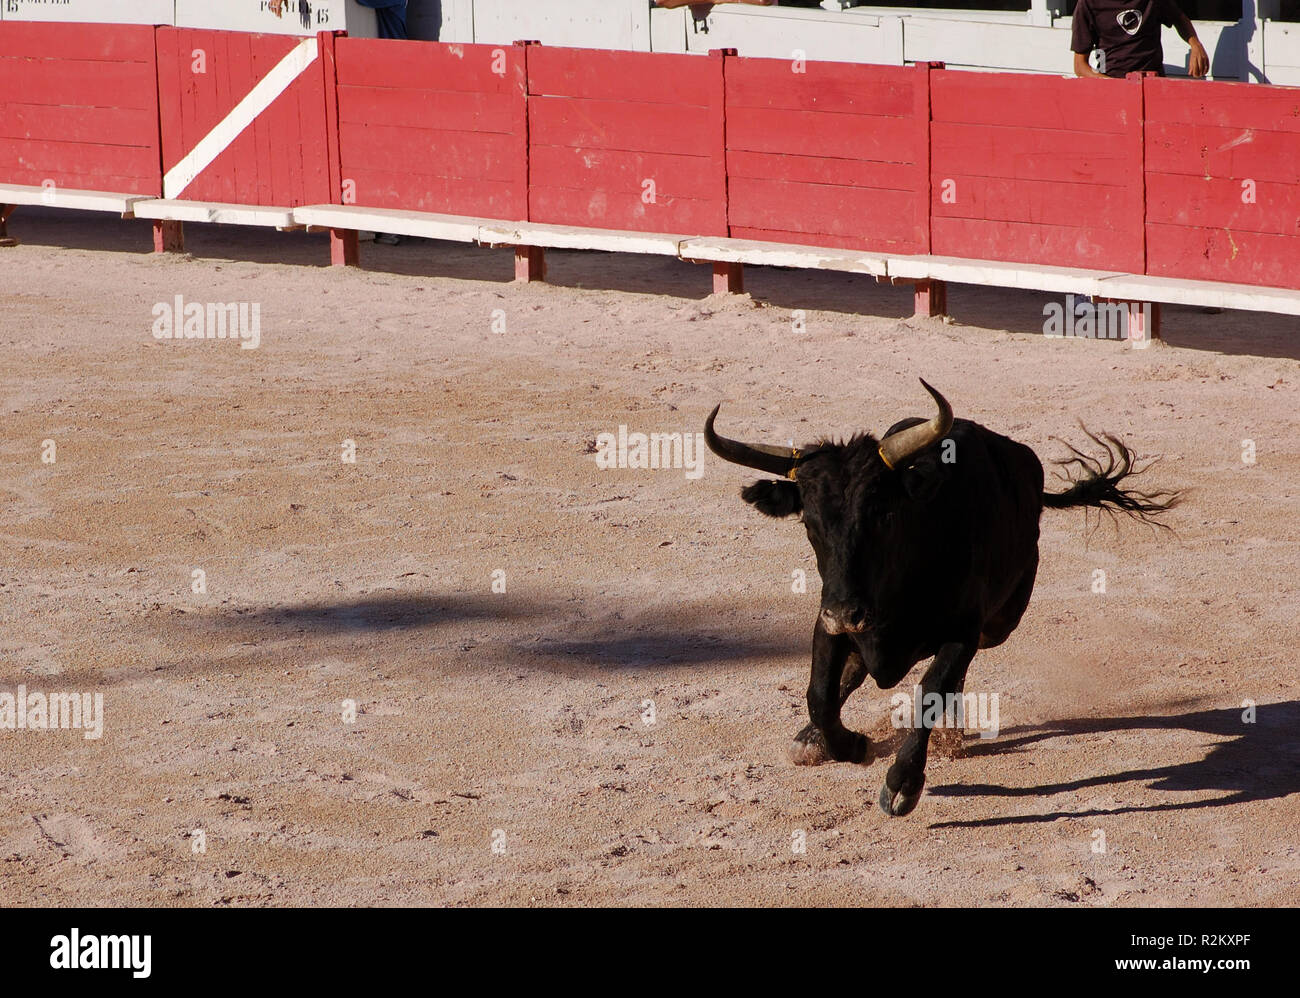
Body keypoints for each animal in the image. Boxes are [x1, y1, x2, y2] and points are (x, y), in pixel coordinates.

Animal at [704, 380, 1178, 817]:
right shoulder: (828, 622)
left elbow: (931, 688)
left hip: (1000, 624)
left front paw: (902, 782)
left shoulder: (962, 632)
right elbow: (820, 693)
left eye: (884, 514)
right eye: (809, 521)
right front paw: (843, 743)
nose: (847, 613)